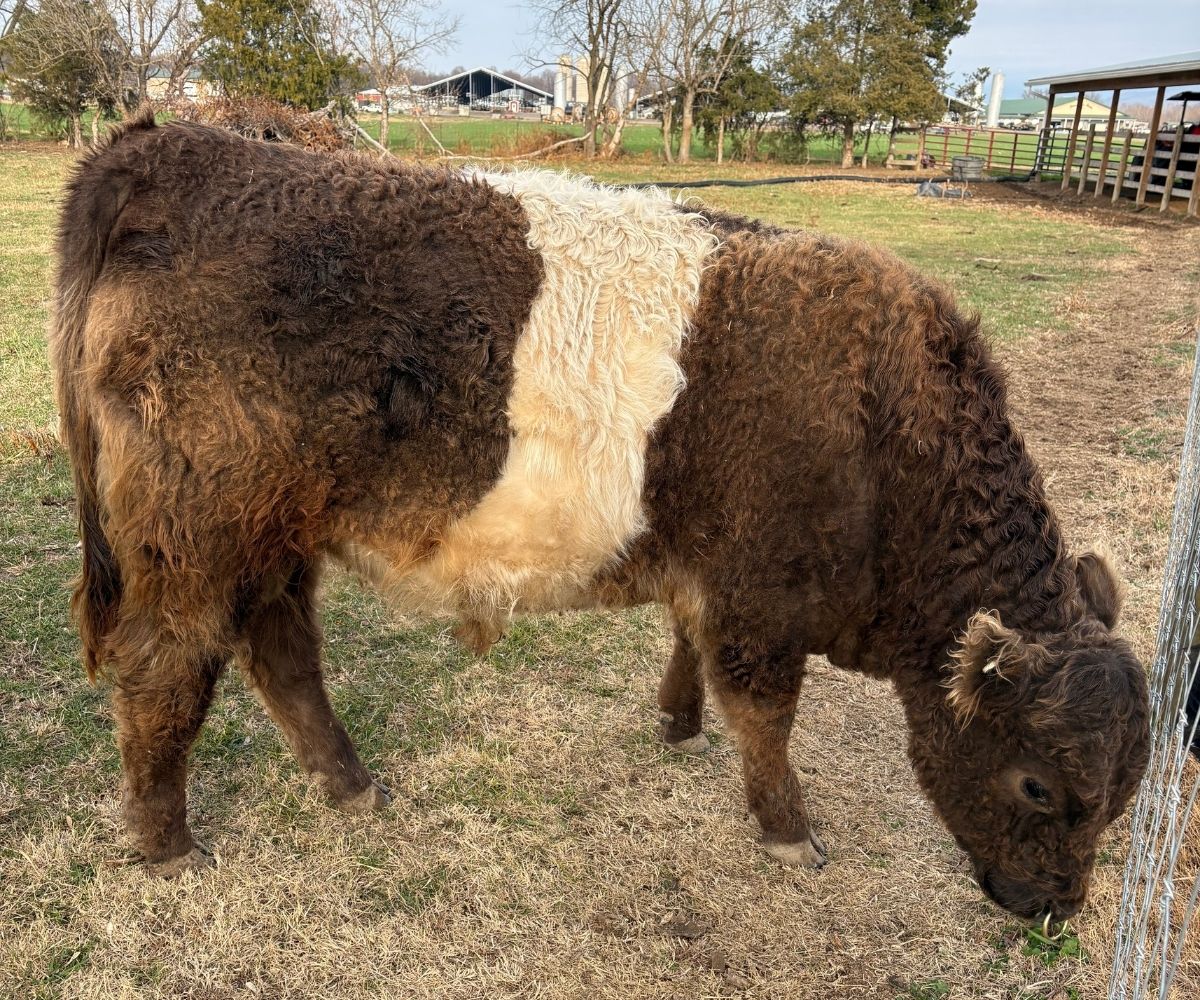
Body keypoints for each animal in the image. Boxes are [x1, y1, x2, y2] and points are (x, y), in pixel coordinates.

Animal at [52, 112, 1149, 921]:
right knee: (167, 666)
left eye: (1126, 794)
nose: (1052, 909)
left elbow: (688, 644)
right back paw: (168, 844)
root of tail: (168, 147)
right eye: (1039, 786)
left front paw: (676, 723)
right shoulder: (763, 598)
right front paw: (787, 831)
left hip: (275, 536)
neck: (889, 428)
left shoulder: (712, 572)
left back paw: (349, 782)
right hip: (195, 538)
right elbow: (766, 715)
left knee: (281, 651)